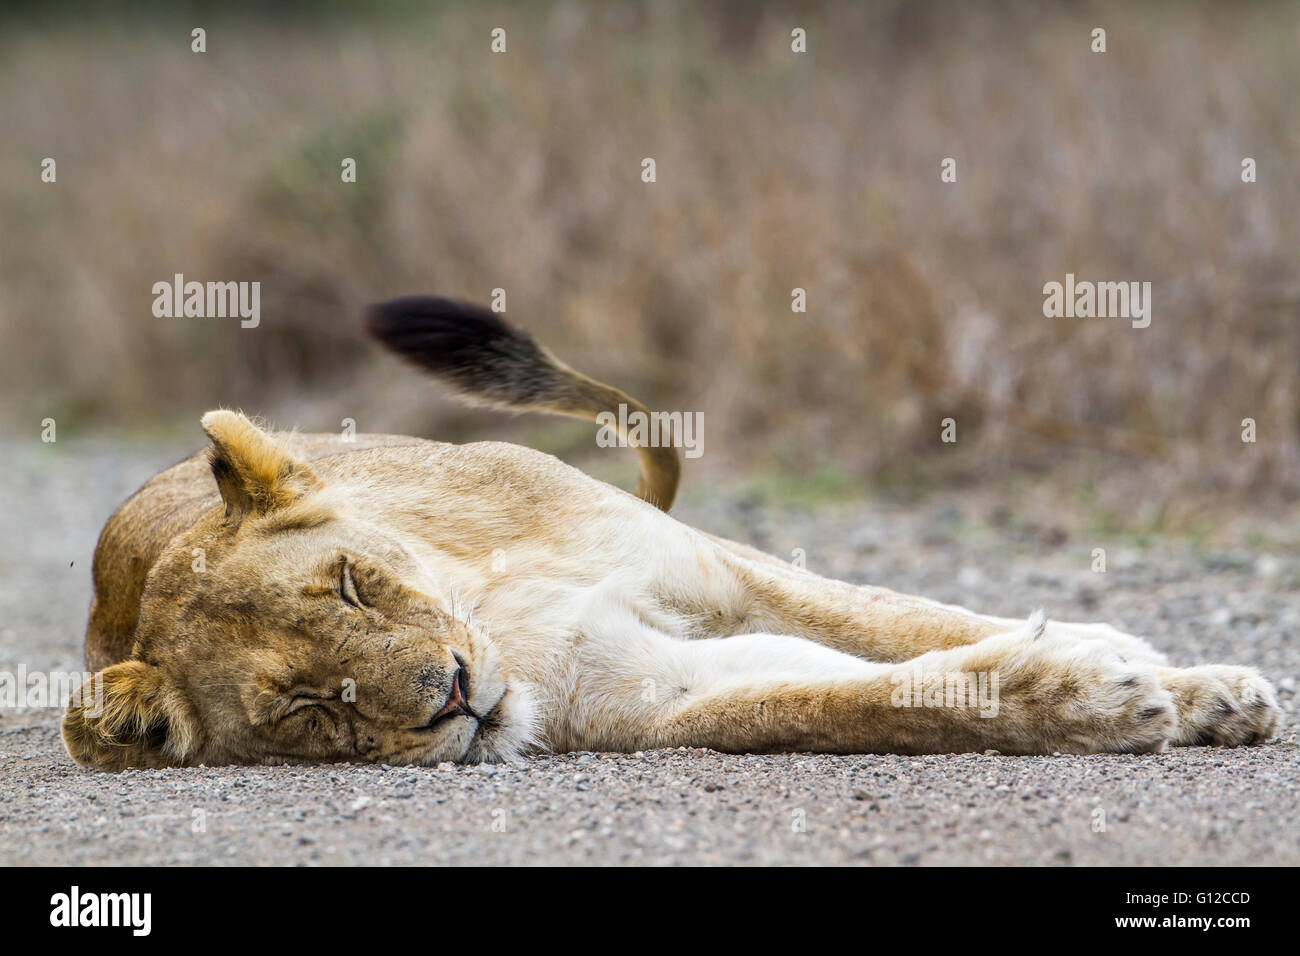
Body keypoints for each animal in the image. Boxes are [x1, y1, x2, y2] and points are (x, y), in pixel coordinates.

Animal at [62, 297, 1281, 770]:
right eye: (311, 710)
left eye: (354, 582)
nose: (452, 691)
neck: (486, 605)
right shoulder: (652, 694)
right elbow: (863, 696)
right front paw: (1091, 695)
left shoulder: (720, 570)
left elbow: (908, 621)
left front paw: (1211, 686)